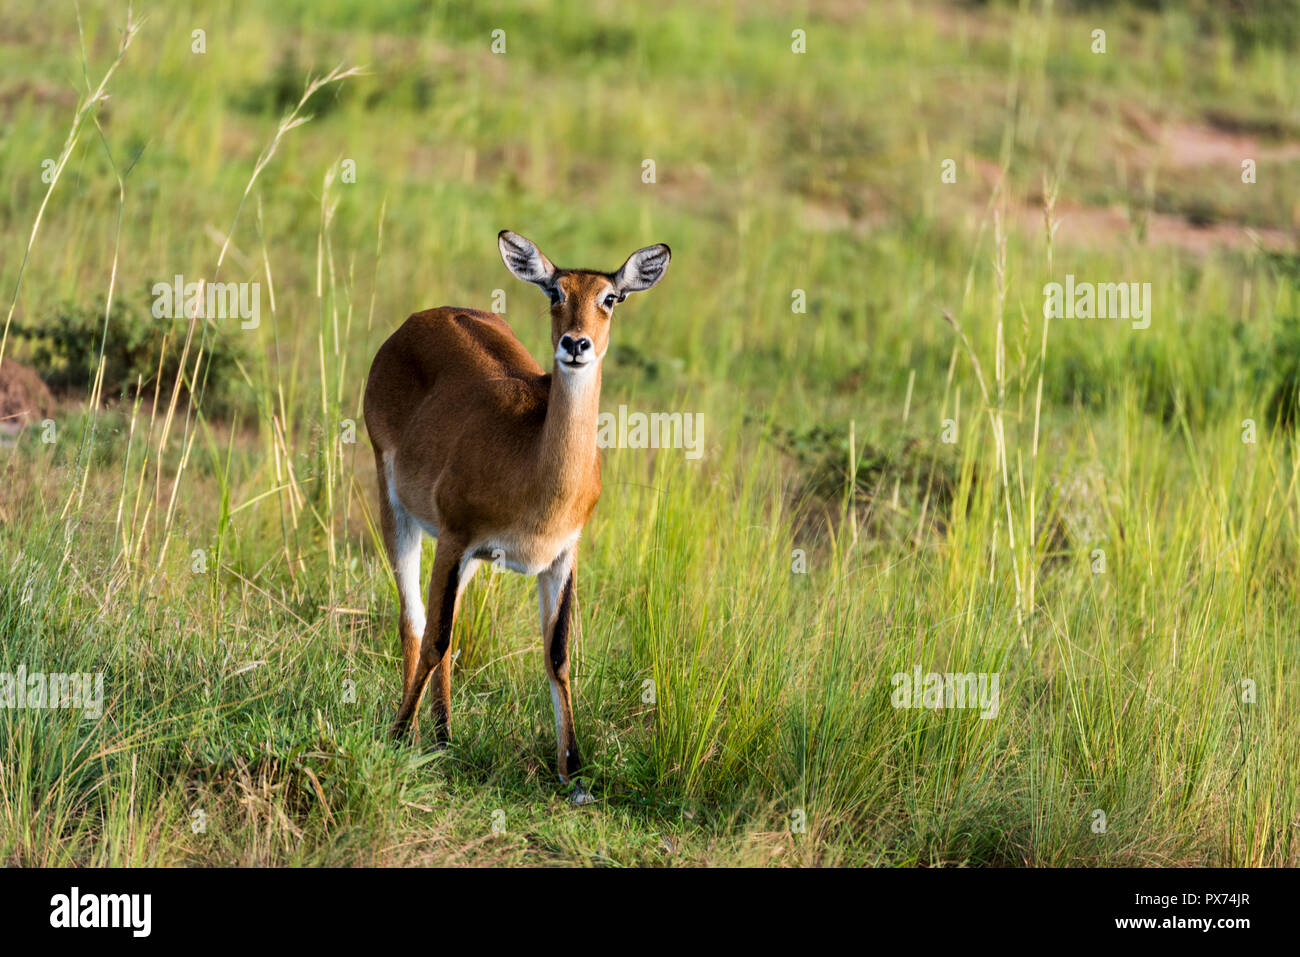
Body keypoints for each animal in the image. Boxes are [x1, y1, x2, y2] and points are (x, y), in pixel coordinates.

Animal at [364, 230, 671, 801]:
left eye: (610, 297)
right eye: (555, 291)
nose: (575, 344)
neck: (533, 466)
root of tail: (425, 316)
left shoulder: (562, 556)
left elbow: (558, 654)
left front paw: (575, 774)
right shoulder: (456, 538)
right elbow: (435, 636)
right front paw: (396, 738)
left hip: (466, 558)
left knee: (443, 624)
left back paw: (443, 736)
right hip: (397, 507)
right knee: (415, 620)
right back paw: (413, 732)